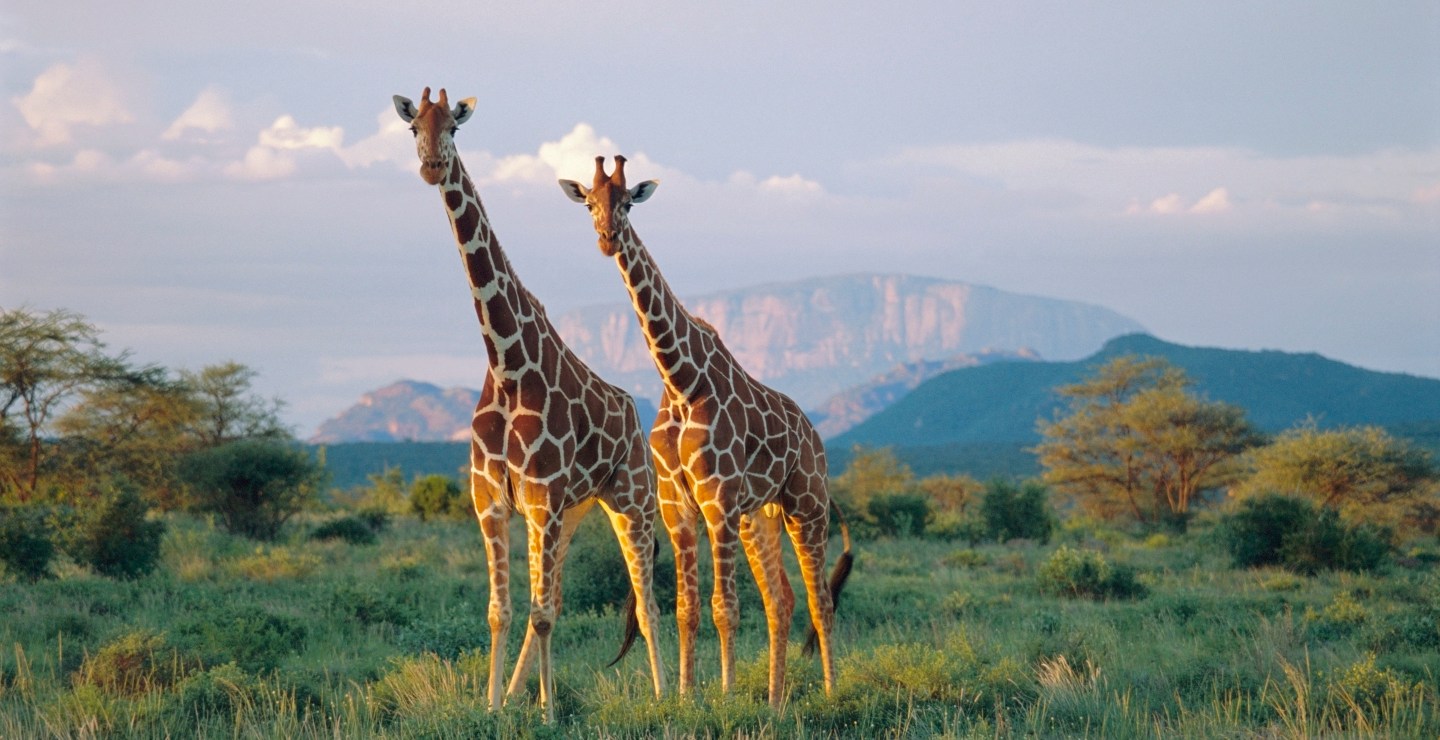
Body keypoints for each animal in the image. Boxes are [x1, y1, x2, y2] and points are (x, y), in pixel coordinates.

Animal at [393, 90, 665, 721]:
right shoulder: (493, 498)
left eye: (455, 128)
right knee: (558, 598)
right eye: (414, 127)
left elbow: (540, 613)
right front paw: (495, 708)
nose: (431, 166)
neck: (507, 363)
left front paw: (547, 713)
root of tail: (632, 412)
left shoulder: (541, 499)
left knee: (646, 603)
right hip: (573, 513)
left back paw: (674, 695)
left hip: (630, 501)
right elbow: (505, 611)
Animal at [560, 156, 853, 709]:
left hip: (806, 505)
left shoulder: (717, 500)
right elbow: (687, 608)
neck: (680, 379)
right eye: (589, 202)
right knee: (781, 599)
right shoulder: (678, 505)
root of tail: (813, 434)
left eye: (627, 201)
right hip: (760, 515)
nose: (607, 238)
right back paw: (776, 701)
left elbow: (725, 607)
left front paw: (727, 693)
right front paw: (685, 694)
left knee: (820, 599)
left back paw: (828, 692)